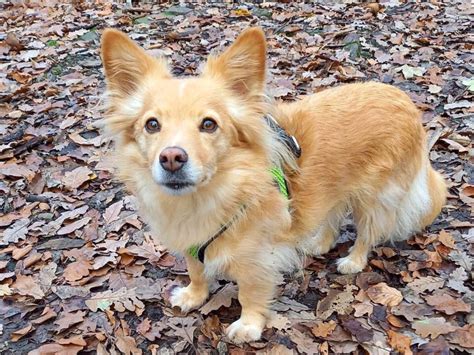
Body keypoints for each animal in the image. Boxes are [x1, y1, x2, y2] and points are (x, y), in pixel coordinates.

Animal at [101, 26, 448, 344]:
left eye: (209, 125)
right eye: (152, 125)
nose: (172, 158)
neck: (207, 197)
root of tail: (403, 99)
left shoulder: (257, 260)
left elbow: (250, 292)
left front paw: (249, 325)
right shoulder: (191, 242)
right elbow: (195, 269)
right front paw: (194, 295)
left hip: (374, 198)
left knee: (367, 233)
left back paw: (352, 261)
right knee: (332, 215)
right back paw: (319, 243)